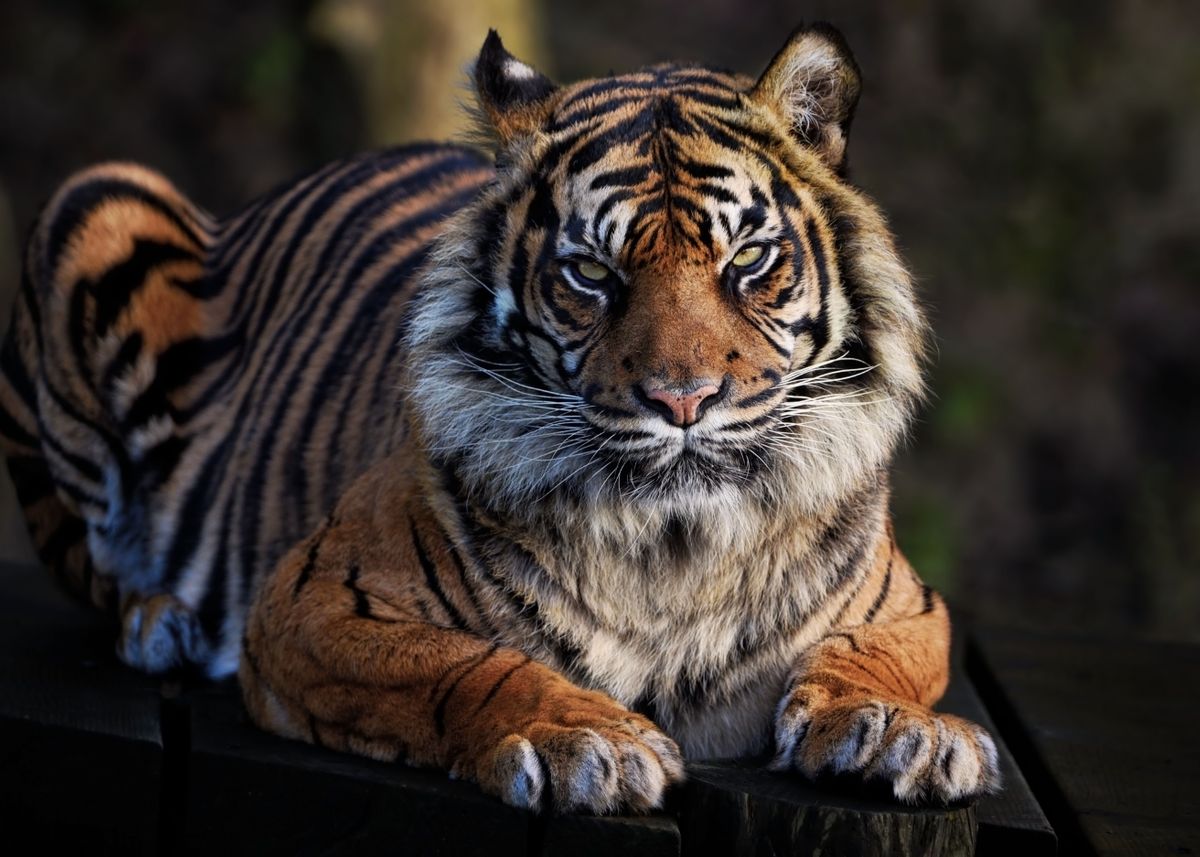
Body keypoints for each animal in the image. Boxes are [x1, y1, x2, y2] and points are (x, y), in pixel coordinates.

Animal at [0, 24, 1000, 812]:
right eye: (592, 273)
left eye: (747, 260)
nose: (681, 399)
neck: (676, 546)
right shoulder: (312, 601)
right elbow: (467, 663)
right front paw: (585, 739)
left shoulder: (909, 603)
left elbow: (872, 655)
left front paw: (898, 728)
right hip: (98, 202)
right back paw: (159, 621)